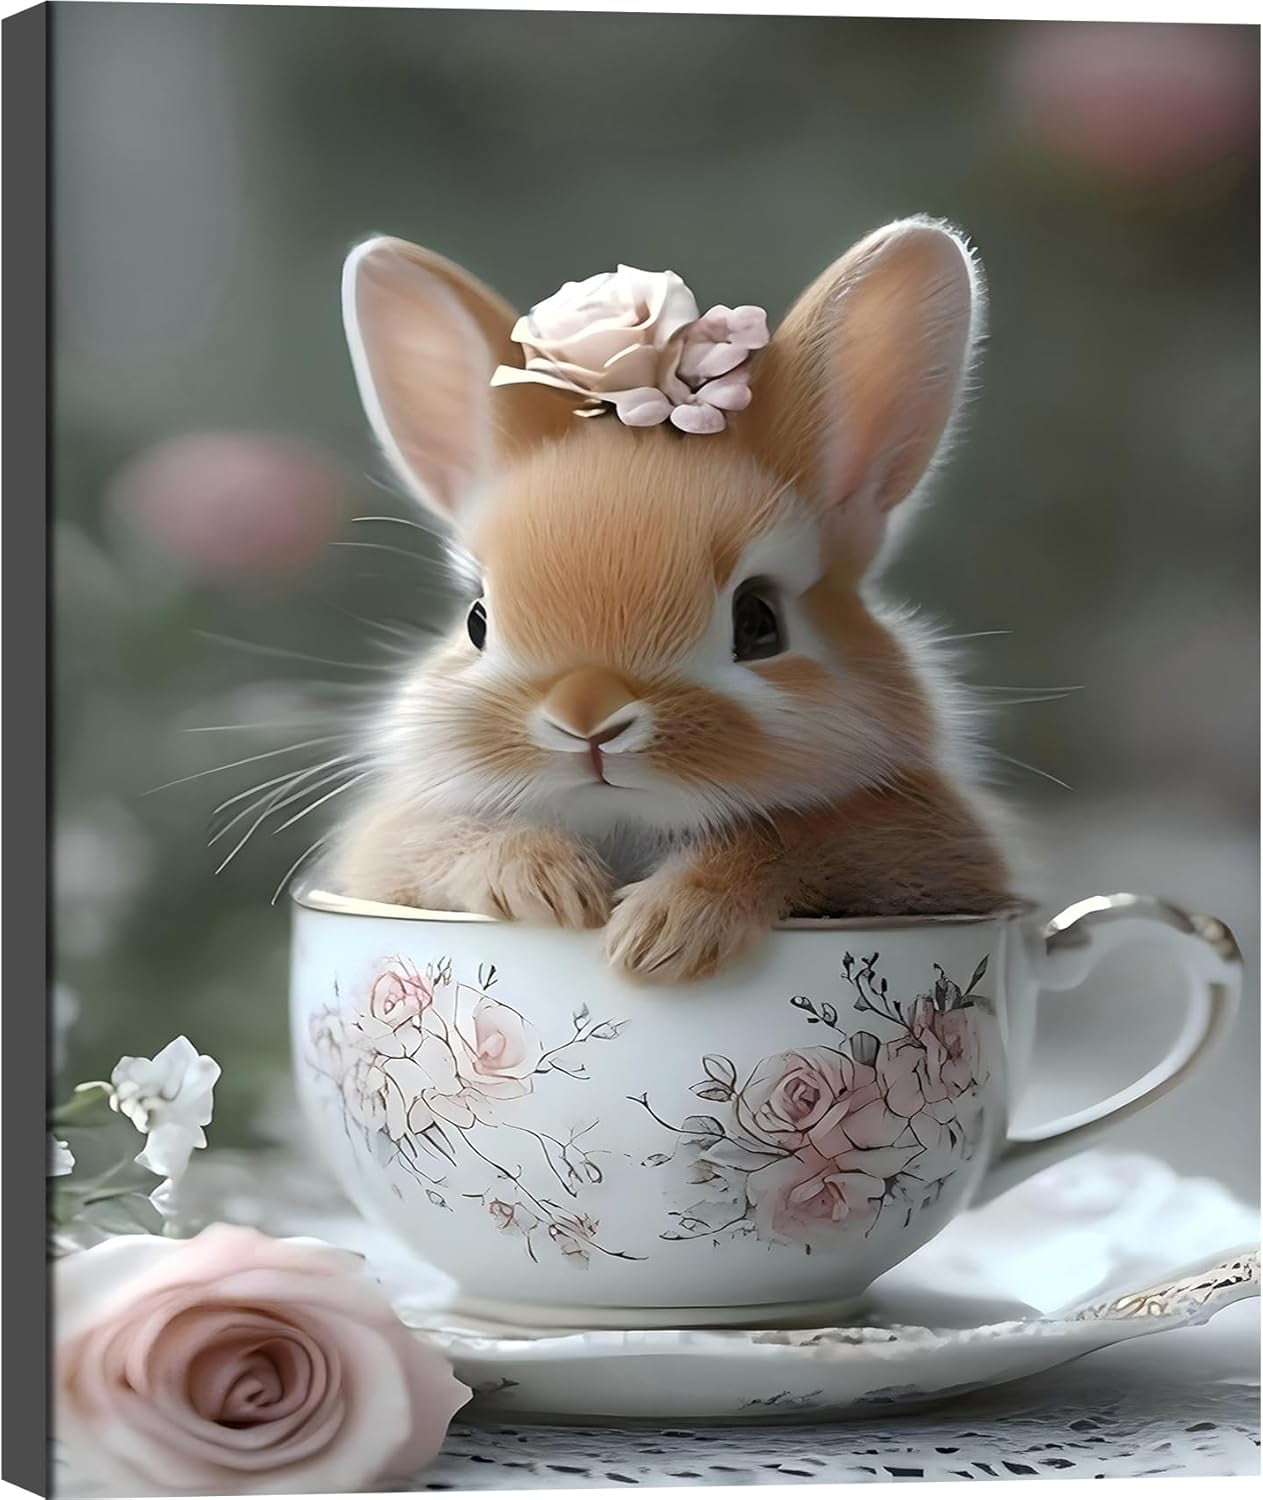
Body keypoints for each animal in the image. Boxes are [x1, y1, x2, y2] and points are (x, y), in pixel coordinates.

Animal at [330, 217, 1017, 984]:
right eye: (477, 620)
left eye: (759, 622)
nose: (587, 723)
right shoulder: (398, 841)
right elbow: (448, 840)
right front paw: (550, 890)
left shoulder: (918, 845)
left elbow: (777, 846)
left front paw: (662, 934)